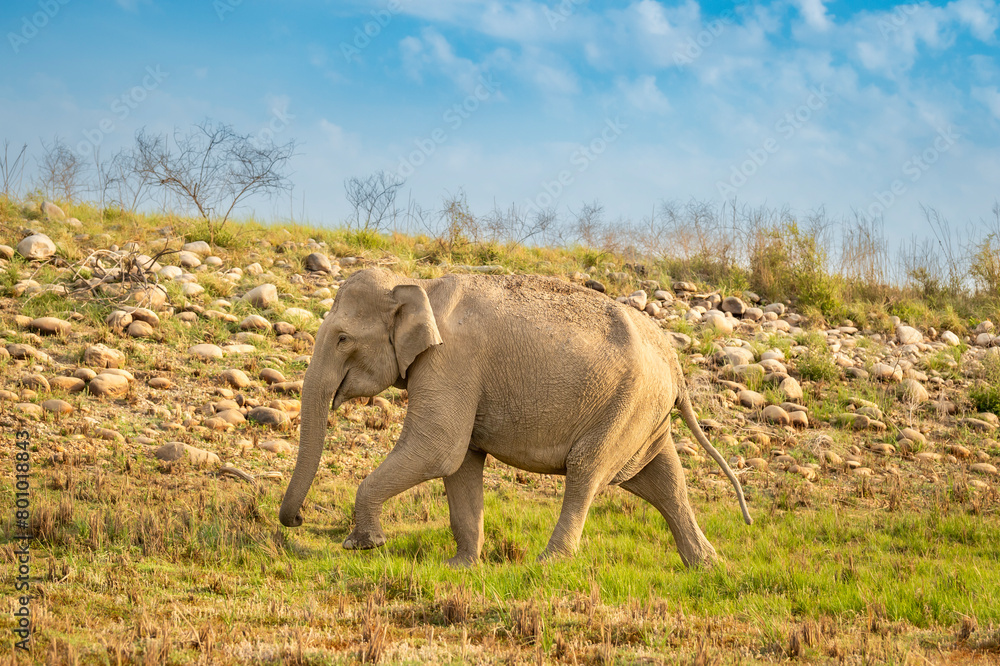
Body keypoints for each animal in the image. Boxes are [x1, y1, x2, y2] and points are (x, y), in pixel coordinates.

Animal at [279, 268, 752, 567]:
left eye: (343, 339)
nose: (297, 521)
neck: (418, 285)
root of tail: (674, 363)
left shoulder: (451, 362)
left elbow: (439, 449)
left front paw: (362, 546)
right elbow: (461, 463)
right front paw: (459, 566)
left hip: (627, 404)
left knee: (588, 470)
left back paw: (548, 563)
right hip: (644, 412)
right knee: (662, 478)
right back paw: (708, 566)